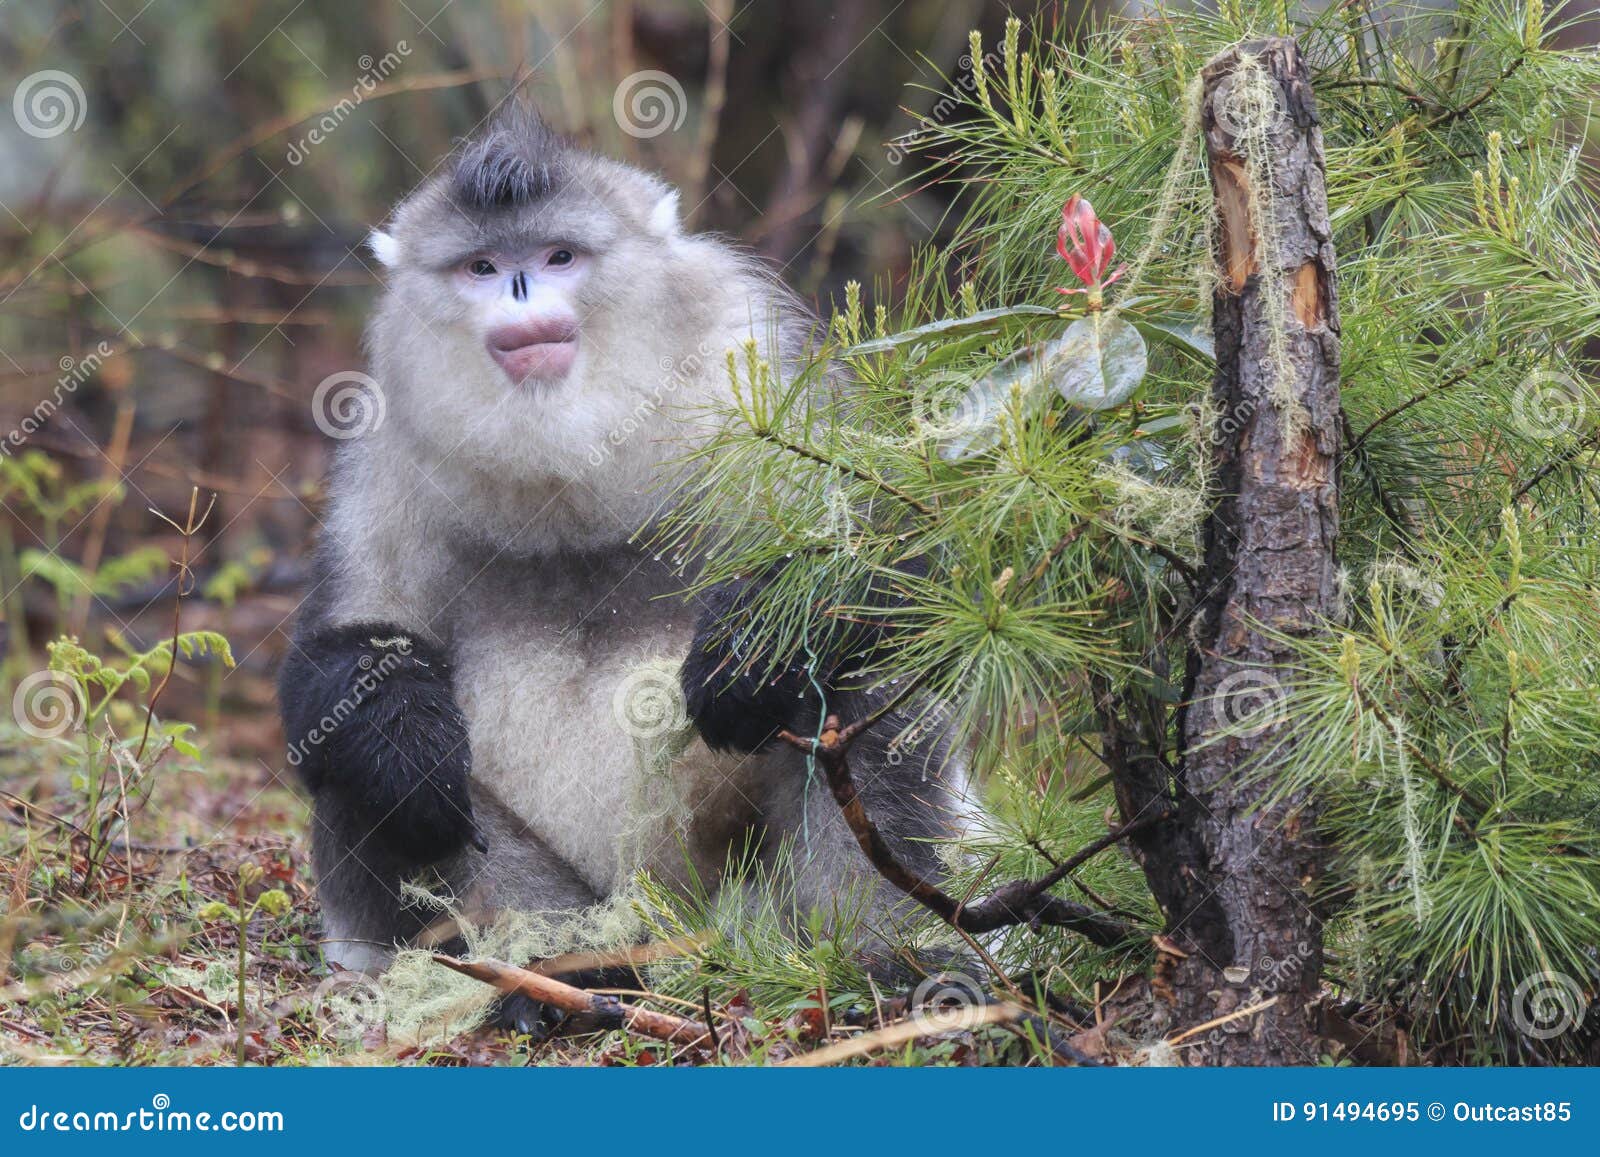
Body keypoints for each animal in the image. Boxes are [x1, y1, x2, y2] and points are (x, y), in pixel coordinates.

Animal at [277, 102, 977, 1030]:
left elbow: (898, 558)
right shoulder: (385, 437)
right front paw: (402, 743)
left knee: (862, 674)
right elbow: (340, 657)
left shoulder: (755, 350)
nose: (520, 290)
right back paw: (550, 977)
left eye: (558, 257)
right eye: (482, 266)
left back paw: (884, 959)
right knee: (361, 767)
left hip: (751, 899)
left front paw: (747, 649)